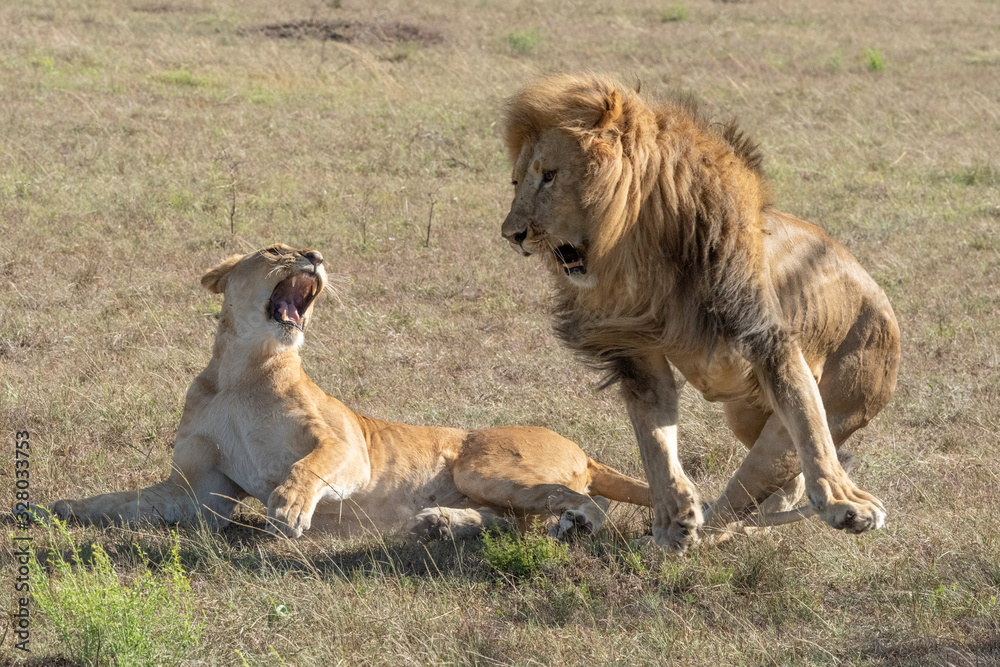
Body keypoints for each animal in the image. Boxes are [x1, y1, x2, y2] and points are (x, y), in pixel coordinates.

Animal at [32, 244, 652, 542]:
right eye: (276, 248)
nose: (316, 255)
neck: (242, 371)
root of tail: (581, 448)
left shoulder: (347, 446)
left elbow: (308, 466)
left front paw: (288, 506)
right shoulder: (199, 493)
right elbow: (116, 502)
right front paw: (44, 508)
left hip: (485, 465)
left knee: (585, 503)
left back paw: (572, 526)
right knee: (515, 521)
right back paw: (438, 524)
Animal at [499, 73, 900, 553]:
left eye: (550, 176)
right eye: (516, 181)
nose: (511, 234)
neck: (639, 254)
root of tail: (886, 311)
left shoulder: (768, 338)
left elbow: (810, 428)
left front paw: (844, 502)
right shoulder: (636, 354)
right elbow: (654, 441)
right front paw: (674, 516)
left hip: (825, 406)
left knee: (767, 472)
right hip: (744, 417)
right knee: (774, 488)